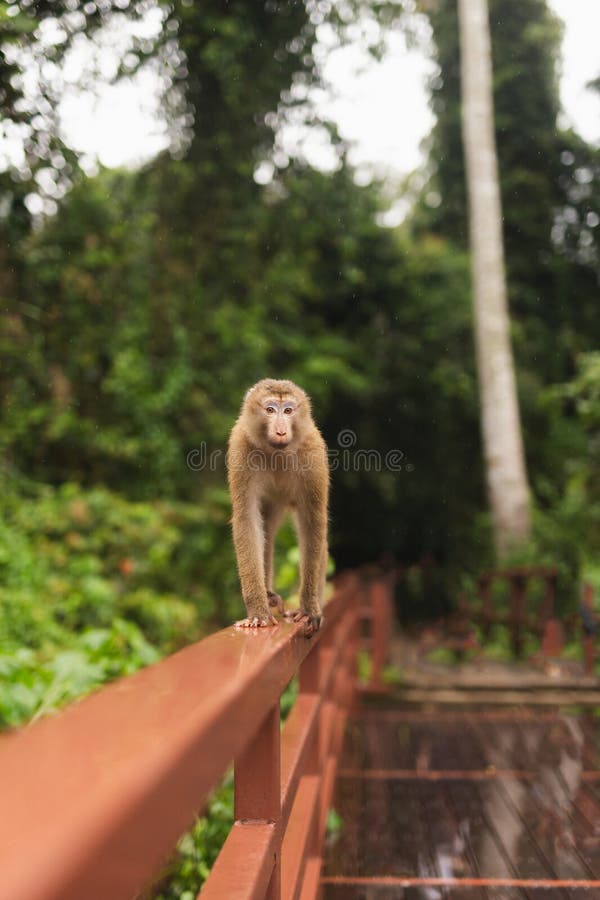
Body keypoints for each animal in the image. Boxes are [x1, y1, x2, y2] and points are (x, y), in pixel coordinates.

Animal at [227, 379, 329, 637]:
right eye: (271, 410)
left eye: (289, 410)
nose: (281, 430)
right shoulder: (241, 447)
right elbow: (247, 521)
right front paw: (258, 612)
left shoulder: (313, 452)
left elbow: (312, 524)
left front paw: (309, 607)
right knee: (266, 528)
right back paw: (269, 596)